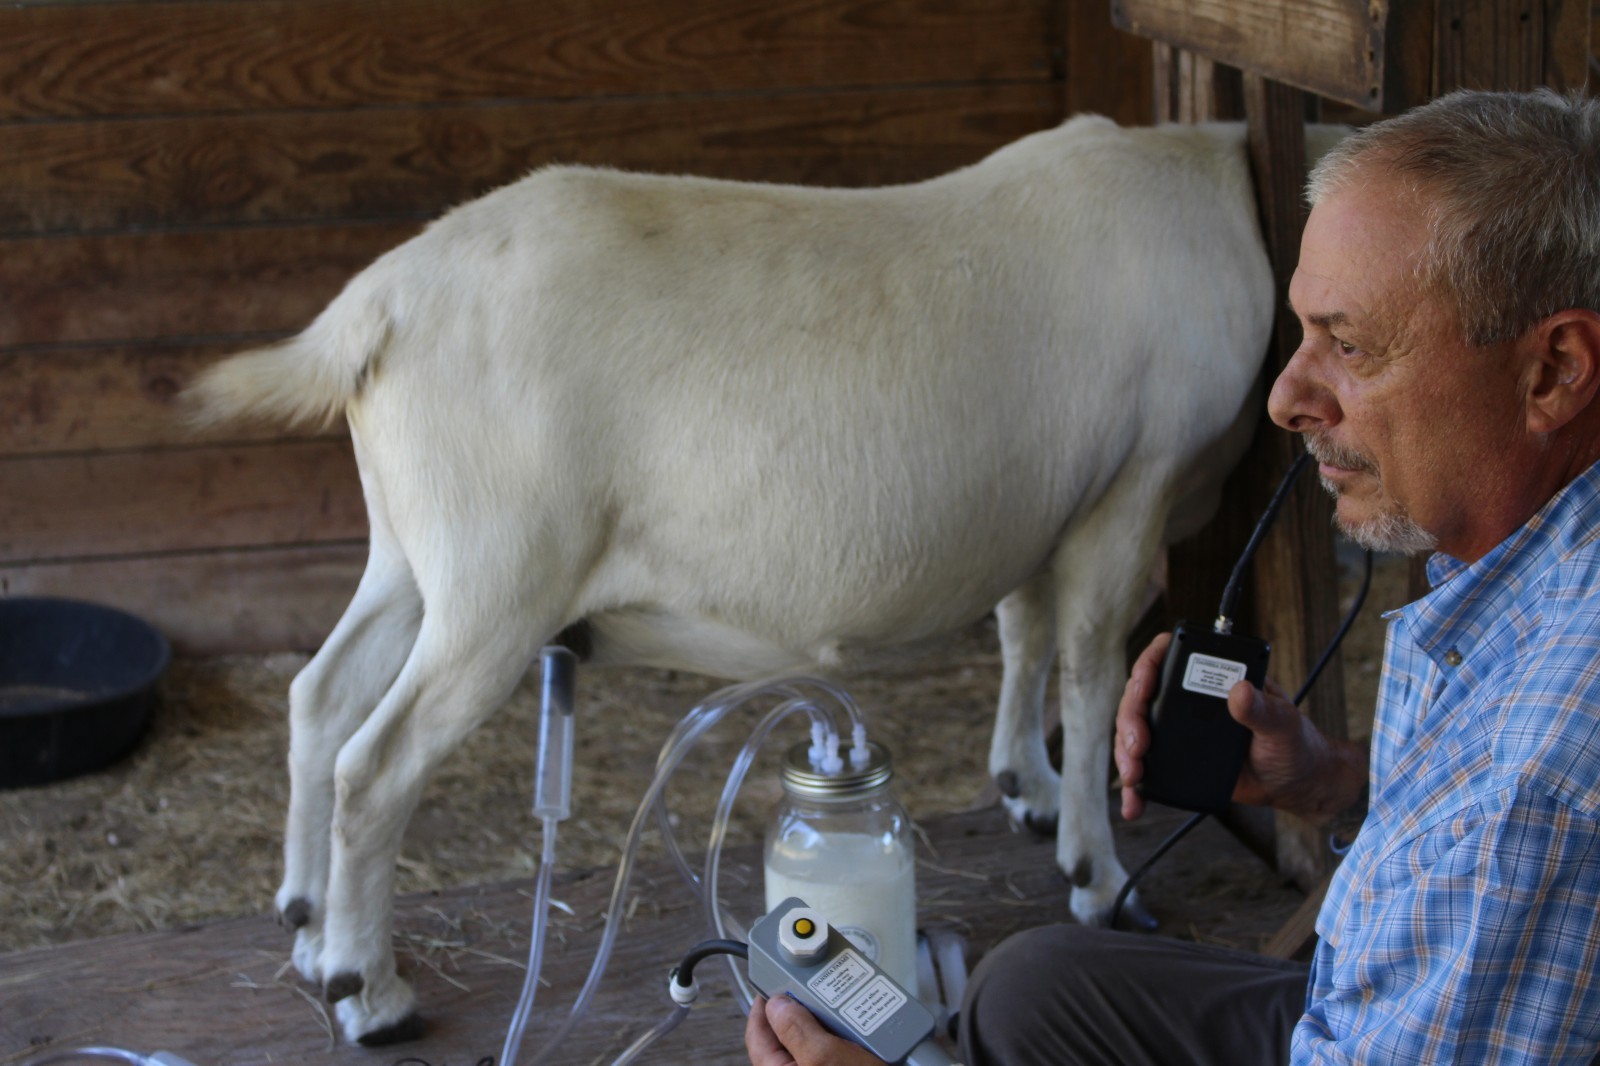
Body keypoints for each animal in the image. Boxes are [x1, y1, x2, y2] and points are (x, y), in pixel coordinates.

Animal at [187, 113, 1277, 1045]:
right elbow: (1093, 675)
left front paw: (1029, 788)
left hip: (414, 551)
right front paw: (1101, 874)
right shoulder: (1131, 490)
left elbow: (1026, 632)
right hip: (498, 572)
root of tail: (379, 302)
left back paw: (307, 926)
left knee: (320, 695)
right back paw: (367, 993)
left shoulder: (1040, 507)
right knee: (374, 765)